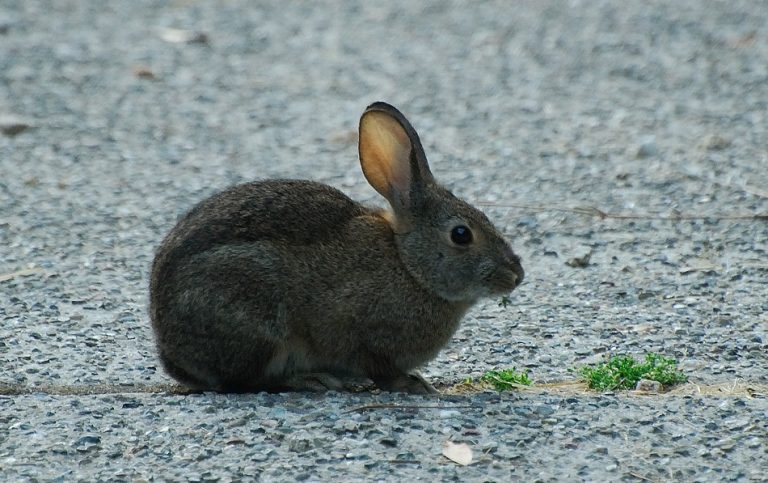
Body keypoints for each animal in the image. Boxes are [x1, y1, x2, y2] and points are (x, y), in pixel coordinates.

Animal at [149, 102, 524, 394]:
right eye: (461, 234)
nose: (516, 275)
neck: (409, 266)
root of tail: (172, 352)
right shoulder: (362, 335)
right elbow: (379, 369)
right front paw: (413, 384)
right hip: (255, 318)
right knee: (246, 380)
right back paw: (311, 380)